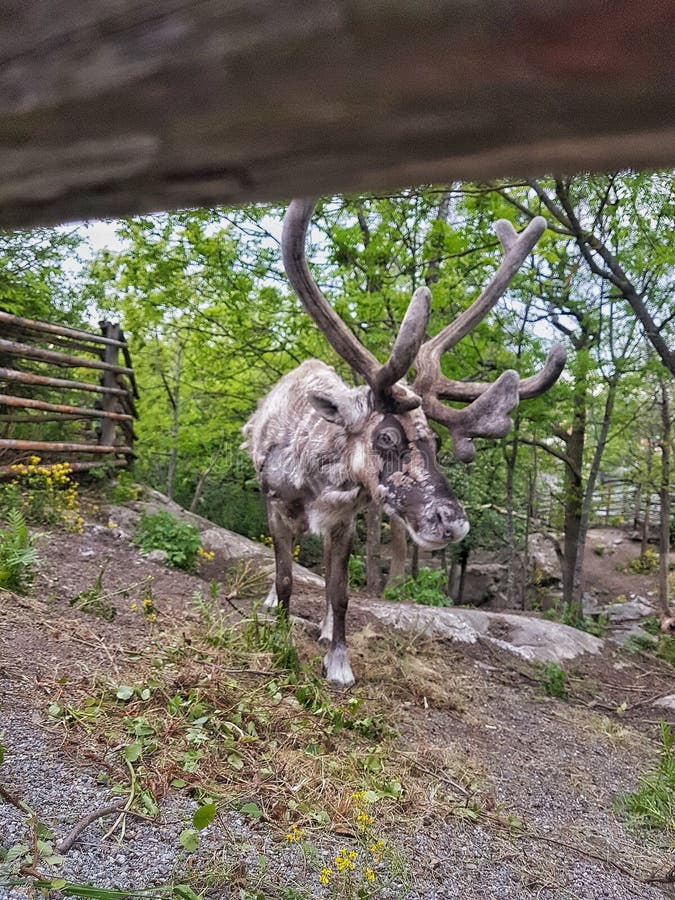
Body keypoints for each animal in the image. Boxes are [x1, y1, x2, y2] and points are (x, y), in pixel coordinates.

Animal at [243, 198, 565, 687]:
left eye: (436, 443)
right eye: (387, 437)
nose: (452, 522)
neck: (315, 478)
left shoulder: (343, 522)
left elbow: (341, 593)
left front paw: (338, 661)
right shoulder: (276, 505)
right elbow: (284, 579)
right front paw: (280, 638)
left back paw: (323, 628)